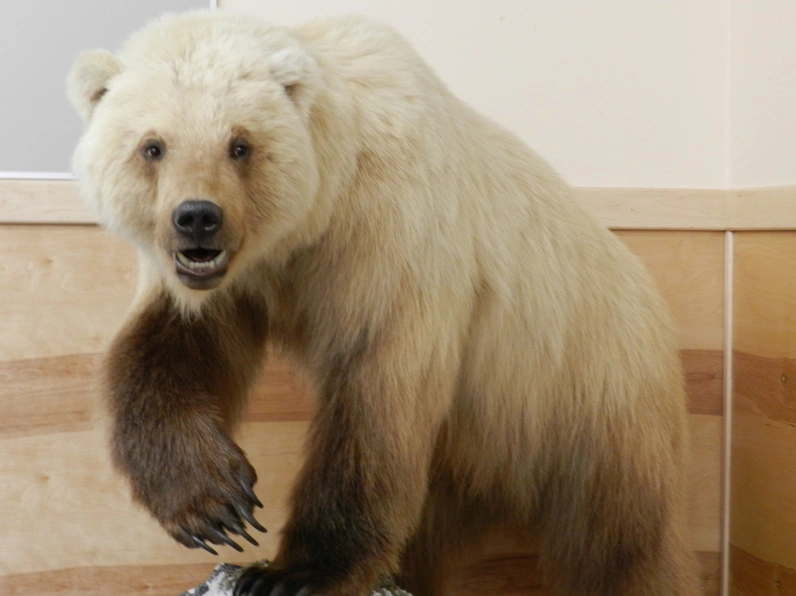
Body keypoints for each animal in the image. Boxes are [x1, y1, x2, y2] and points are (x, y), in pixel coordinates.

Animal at [67, 10, 702, 596]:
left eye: (239, 144)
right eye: (153, 145)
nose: (198, 217)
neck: (316, 215)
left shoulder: (390, 238)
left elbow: (375, 394)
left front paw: (289, 573)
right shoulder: (229, 283)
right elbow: (168, 348)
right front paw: (215, 506)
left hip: (592, 401)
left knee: (622, 541)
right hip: (470, 451)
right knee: (433, 532)